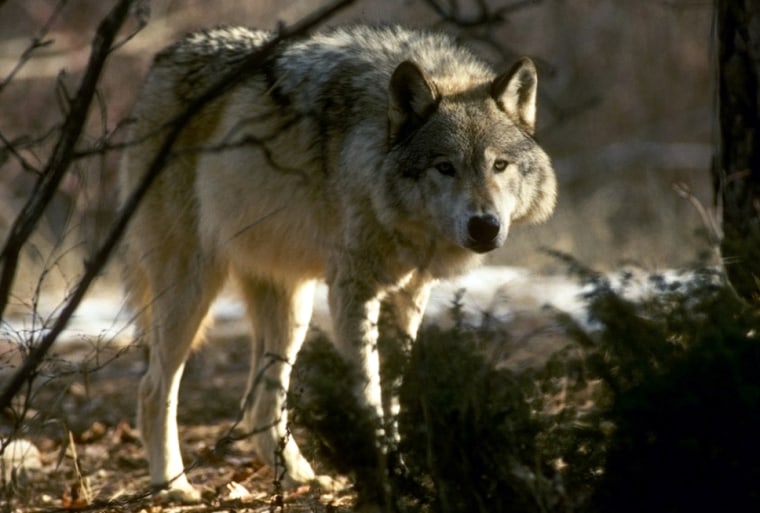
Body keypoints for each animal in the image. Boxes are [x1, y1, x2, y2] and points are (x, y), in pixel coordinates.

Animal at [120, 24, 556, 503]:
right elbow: (369, 397)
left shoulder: (409, 295)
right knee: (152, 390)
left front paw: (401, 470)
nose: (484, 227)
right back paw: (173, 486)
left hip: (292, 309)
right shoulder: (353, 292)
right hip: (192, 292)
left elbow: (393, 396)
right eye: (445, 167)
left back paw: (300, 478)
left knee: (259, 406)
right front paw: (384, 475)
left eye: (499, 165)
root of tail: (162, 61)